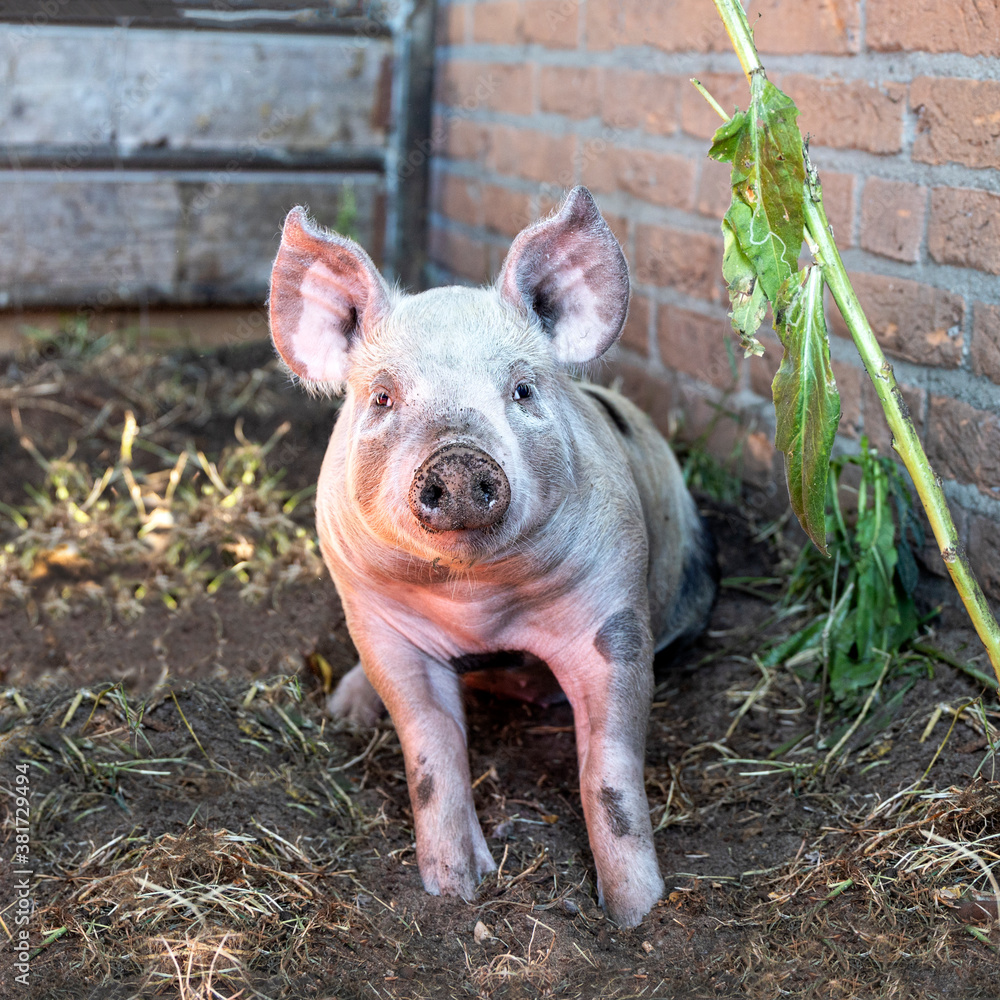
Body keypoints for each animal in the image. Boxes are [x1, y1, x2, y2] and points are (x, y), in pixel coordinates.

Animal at [268, 186, 717, 927]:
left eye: (523, 390)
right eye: (383, 396)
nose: (457, 458)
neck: (476, 603)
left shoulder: (615, 612)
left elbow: (610, 771)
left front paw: (637, 915)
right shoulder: (382, 626)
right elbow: (430, 752)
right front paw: (455, 891)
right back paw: (347, 710)